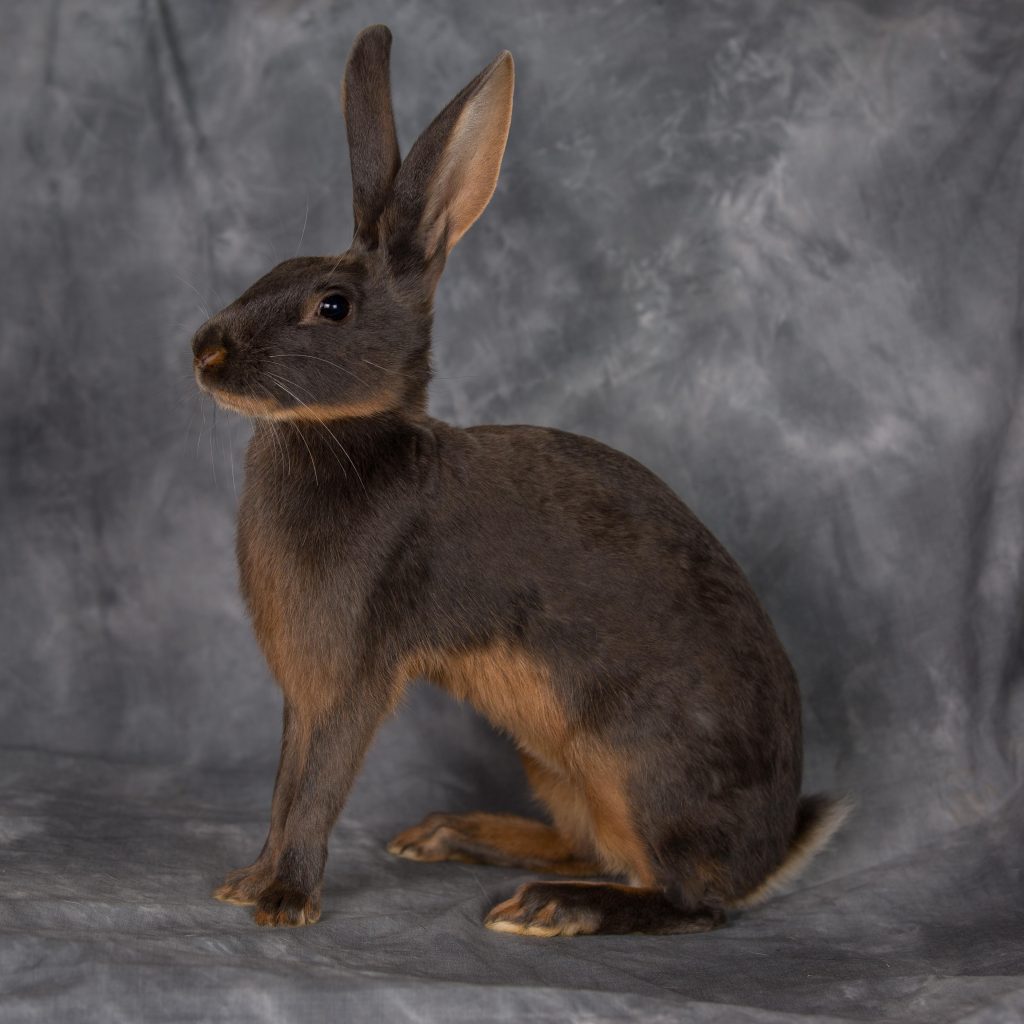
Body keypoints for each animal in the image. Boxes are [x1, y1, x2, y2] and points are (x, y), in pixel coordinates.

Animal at [192, 24, 849, 935]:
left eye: (331, 306)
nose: (205, 352)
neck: (350, 431)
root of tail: (770, 851)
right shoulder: (305, 689)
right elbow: (287, 782)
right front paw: (245, 882)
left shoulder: (350, 675)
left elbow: (318, 783)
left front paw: (283, 901)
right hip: (556, 762)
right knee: (596, 848)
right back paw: (452, 838)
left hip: (639, 762)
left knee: (685, 900)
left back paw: (551, 908)